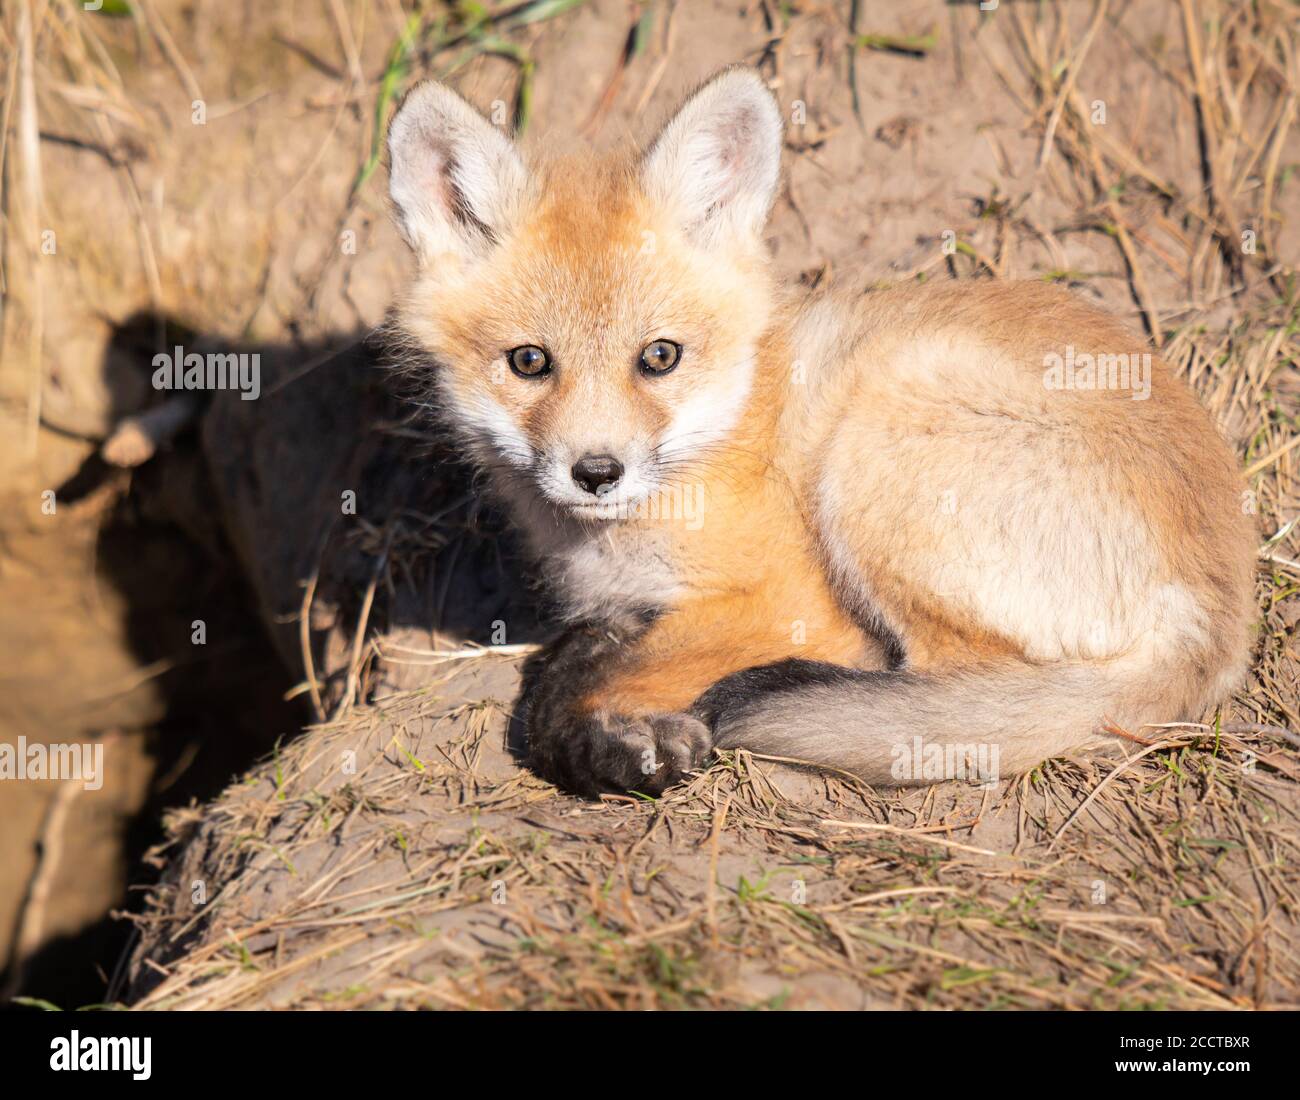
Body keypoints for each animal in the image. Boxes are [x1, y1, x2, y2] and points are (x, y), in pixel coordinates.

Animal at [384, 67, 1257, 796]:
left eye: (659, 357)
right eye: (530, 362)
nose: (597, 472)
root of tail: (1220, 606)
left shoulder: (788, 601)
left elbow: (567, 692)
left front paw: (607, 740)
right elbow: (581, 651)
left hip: (875, 450)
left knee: (942, 684)